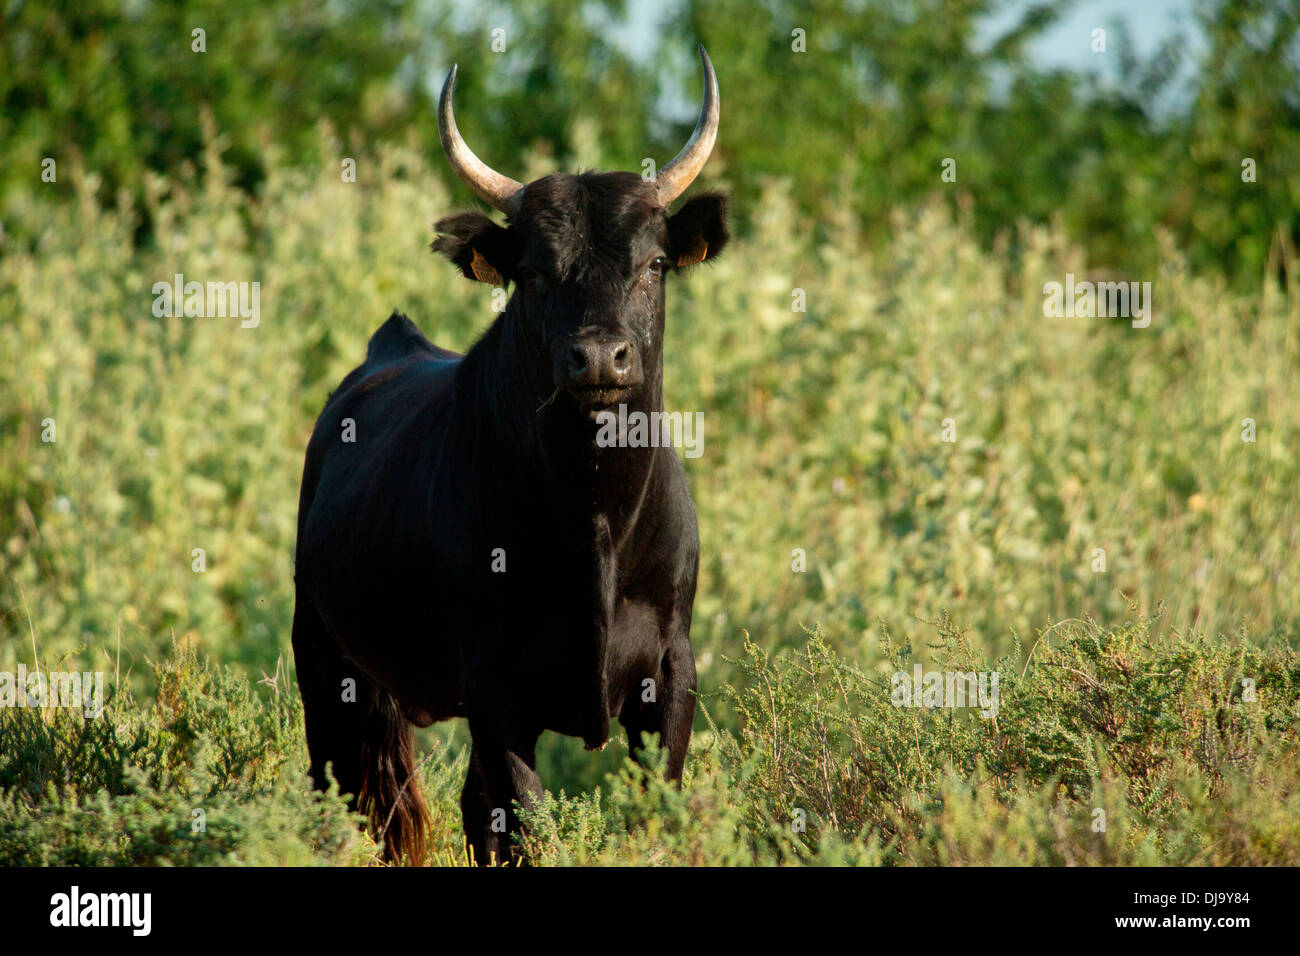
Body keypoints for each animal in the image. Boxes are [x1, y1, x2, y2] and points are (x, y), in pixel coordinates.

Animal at [291, 46, 728, 865]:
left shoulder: (670, 675)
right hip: (328, 670)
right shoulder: (497, 690)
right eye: (533, 272)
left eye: (655, 264)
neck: (595, 519)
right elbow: (527, 825)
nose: (599, 357)